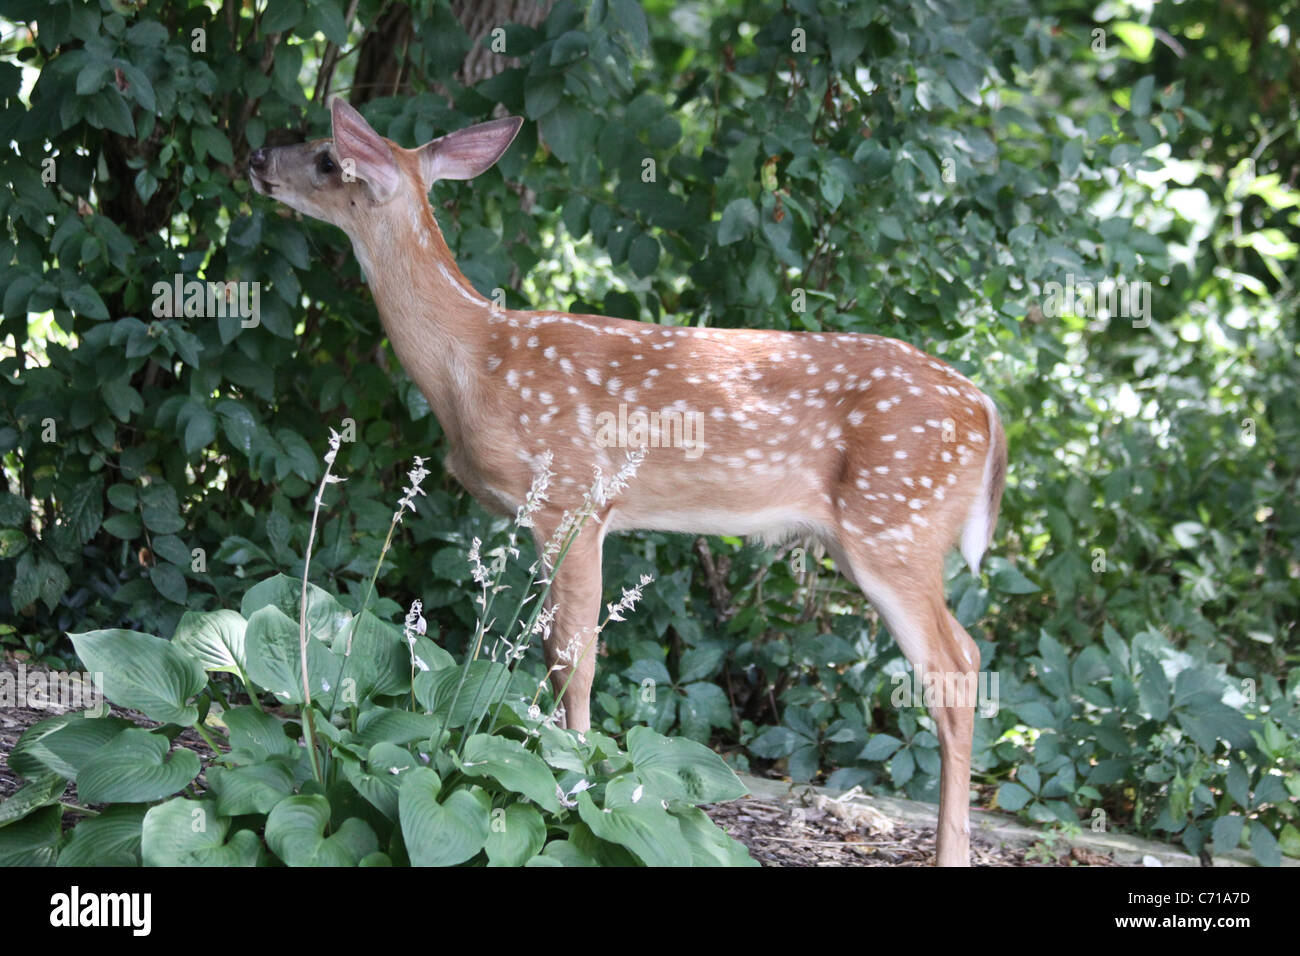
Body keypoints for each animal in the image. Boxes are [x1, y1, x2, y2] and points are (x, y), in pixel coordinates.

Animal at [248, 97, 1007, 866]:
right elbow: (553, 654)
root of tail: (985, 408)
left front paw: (573, 784)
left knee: (955, 669)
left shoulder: (574, 496)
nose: (255, 158)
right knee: (966, 657)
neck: (473, 361)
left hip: (895, 522)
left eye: (326, 158)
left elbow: (573, 657)